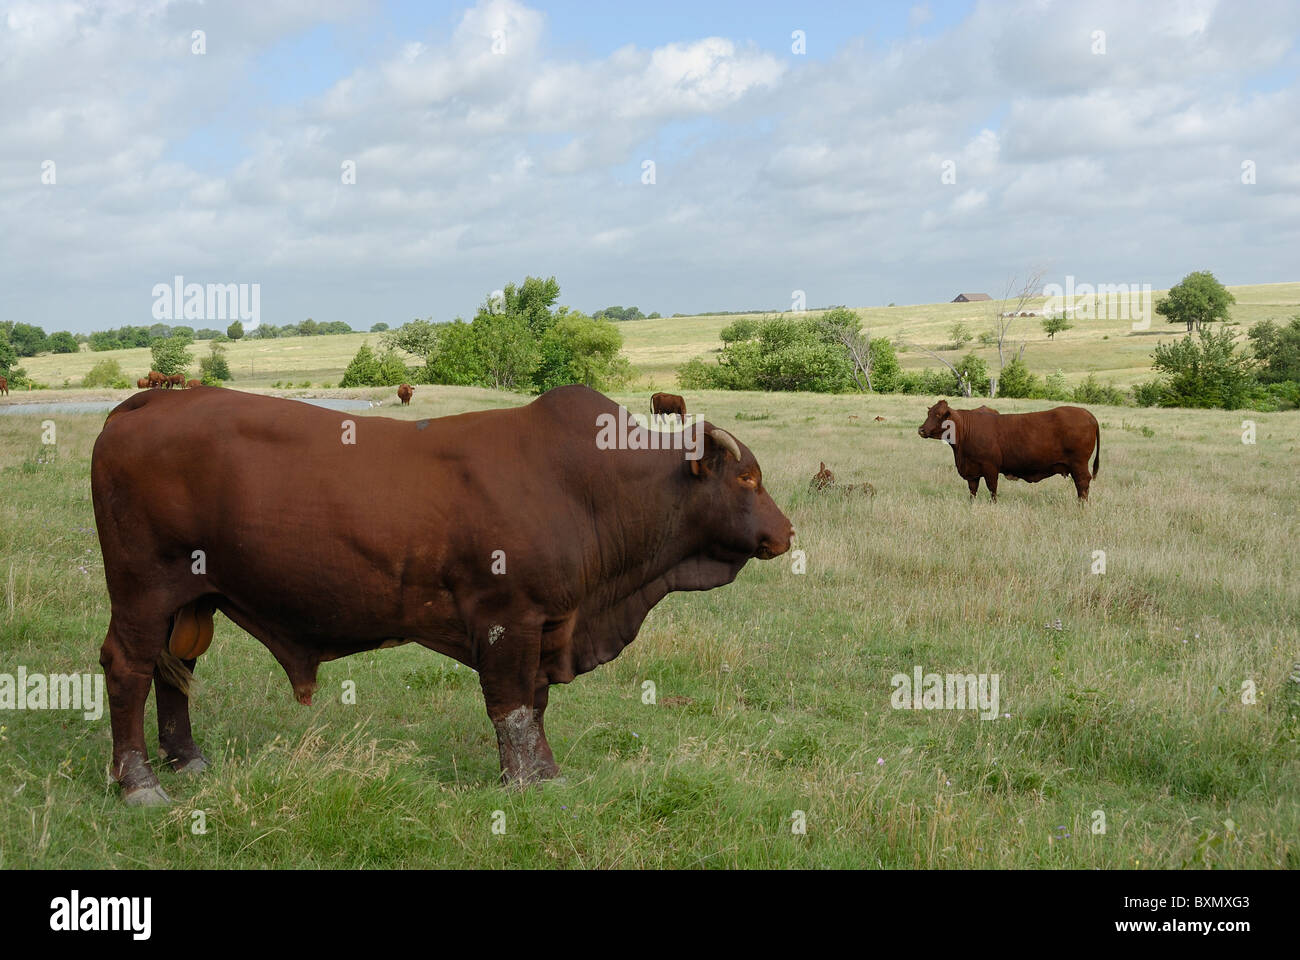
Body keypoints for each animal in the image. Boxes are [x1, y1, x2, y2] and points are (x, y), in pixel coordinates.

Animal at [91, 384, 793, 804]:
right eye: (747, 479)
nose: (785, 533)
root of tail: (149, 403)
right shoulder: (507, 617)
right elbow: (511, 705)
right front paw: (525, 784)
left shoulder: (546, 624)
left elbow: (533, 705)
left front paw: (544, 774)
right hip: (143, 590)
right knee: (129, 669)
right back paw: (138, 783)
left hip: (190, 598)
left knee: (176, 668)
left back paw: (187, 759)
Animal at [917, 399, 1099, 501]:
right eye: (929, 412)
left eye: (939, 415)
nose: (921, 430)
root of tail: (1087, 413)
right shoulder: (972, 471)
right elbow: (972, 491)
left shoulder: (990, 468)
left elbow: (992, 490)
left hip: (1079, 464)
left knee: (1082, 483)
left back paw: (1081, 505)